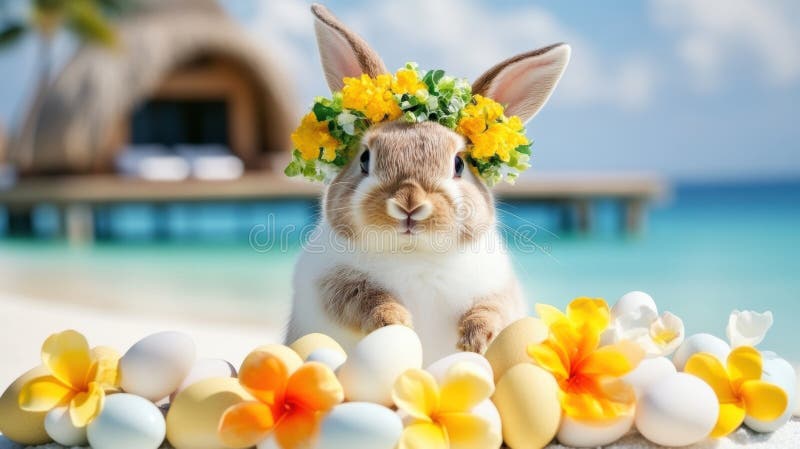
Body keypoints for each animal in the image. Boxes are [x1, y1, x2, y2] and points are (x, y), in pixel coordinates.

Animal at [287, 4, 570, 363]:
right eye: (365, 159)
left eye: (459, 164)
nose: (409, 203)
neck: (415, 256)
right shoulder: (332, 283)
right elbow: (366, 300)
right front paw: (398, 324)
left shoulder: (497, 289)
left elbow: (490, 310)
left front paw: (476, 340)